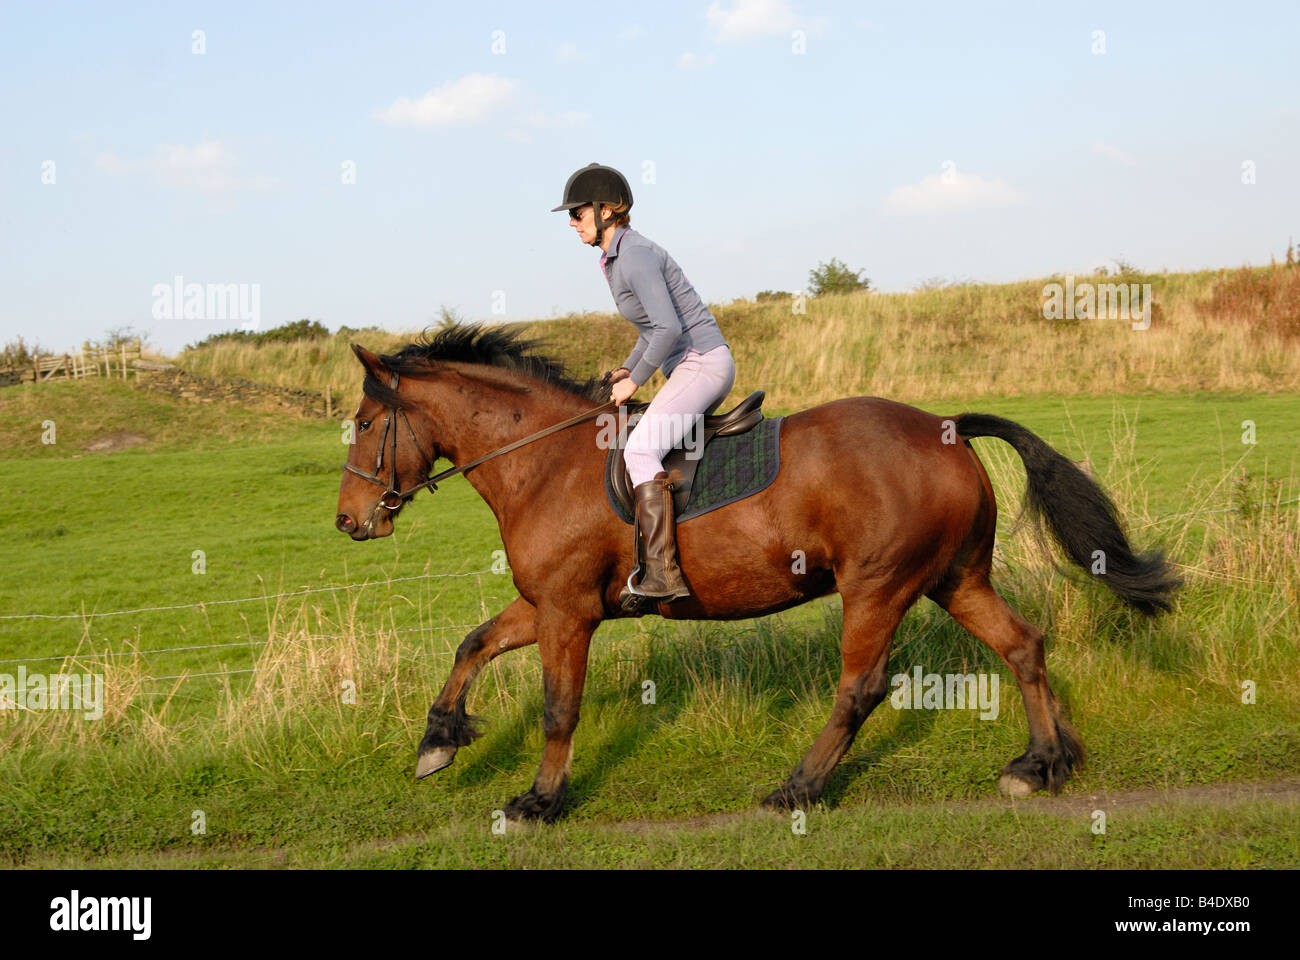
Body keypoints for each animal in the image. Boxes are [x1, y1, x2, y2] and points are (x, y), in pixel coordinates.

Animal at [334, 323, 1181, 823]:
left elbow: (558, 709)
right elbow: (472, 646)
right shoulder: (544, 602)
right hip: (956, 579)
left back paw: (799, 787)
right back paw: (1044, 763)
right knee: (1022, 646)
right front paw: (437, 742)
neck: (541, 460)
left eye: (368, 424)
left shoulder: (568, 611)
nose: (348, 522)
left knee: (861, 688)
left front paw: (540, 802)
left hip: (877, 586)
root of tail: (945, 427)